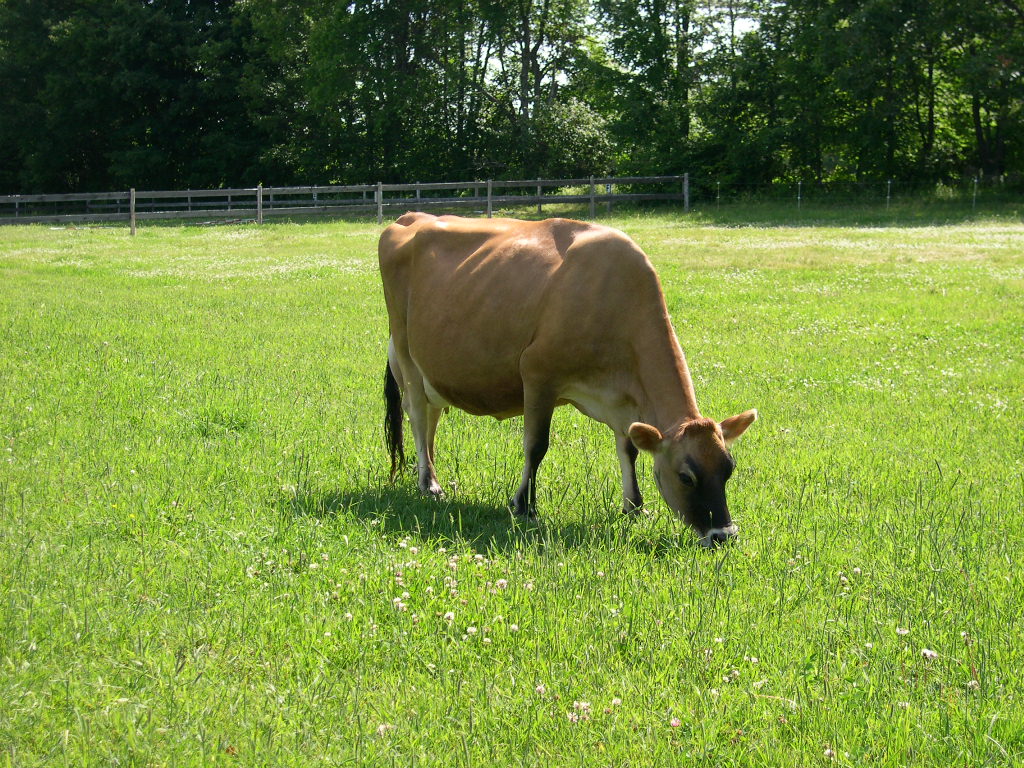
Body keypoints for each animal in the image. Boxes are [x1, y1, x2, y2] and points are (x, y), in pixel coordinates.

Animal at [379, 212, 757, 546]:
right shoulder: (537, 373)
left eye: (728, 469)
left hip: (432, 369)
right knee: (417, 414)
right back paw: (429, 484)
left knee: (430, 417)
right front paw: (524, 506)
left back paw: (430, 473)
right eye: (685, 476)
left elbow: (629, 450)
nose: (723, 535)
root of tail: (411, 217)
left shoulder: (622, 402)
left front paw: (635, 507)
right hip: (406, 349)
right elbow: (536, 445)